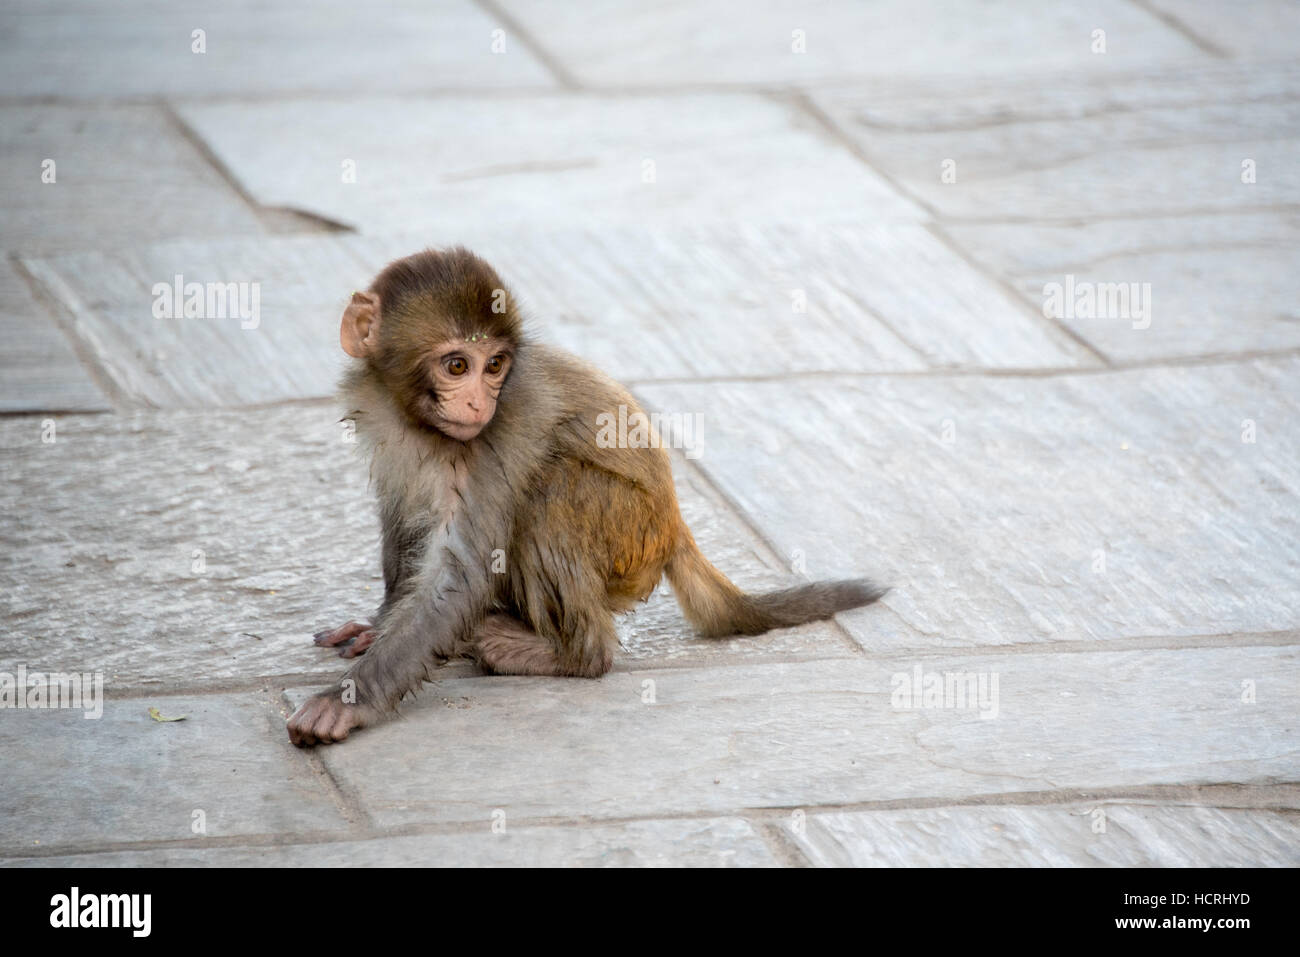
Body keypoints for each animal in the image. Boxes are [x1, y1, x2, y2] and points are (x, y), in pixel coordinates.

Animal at [287, 247, 885, 746]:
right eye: (457, 365)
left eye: (495, 366)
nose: (480, 402)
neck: (419, 424)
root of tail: (674, 528)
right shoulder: (383, 422)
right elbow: (402, 519)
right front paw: (379, 624)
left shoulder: (498, 435)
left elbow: (464, 573)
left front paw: (349, 700)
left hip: (630, 537)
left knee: (552, 489)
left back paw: (573, 655)